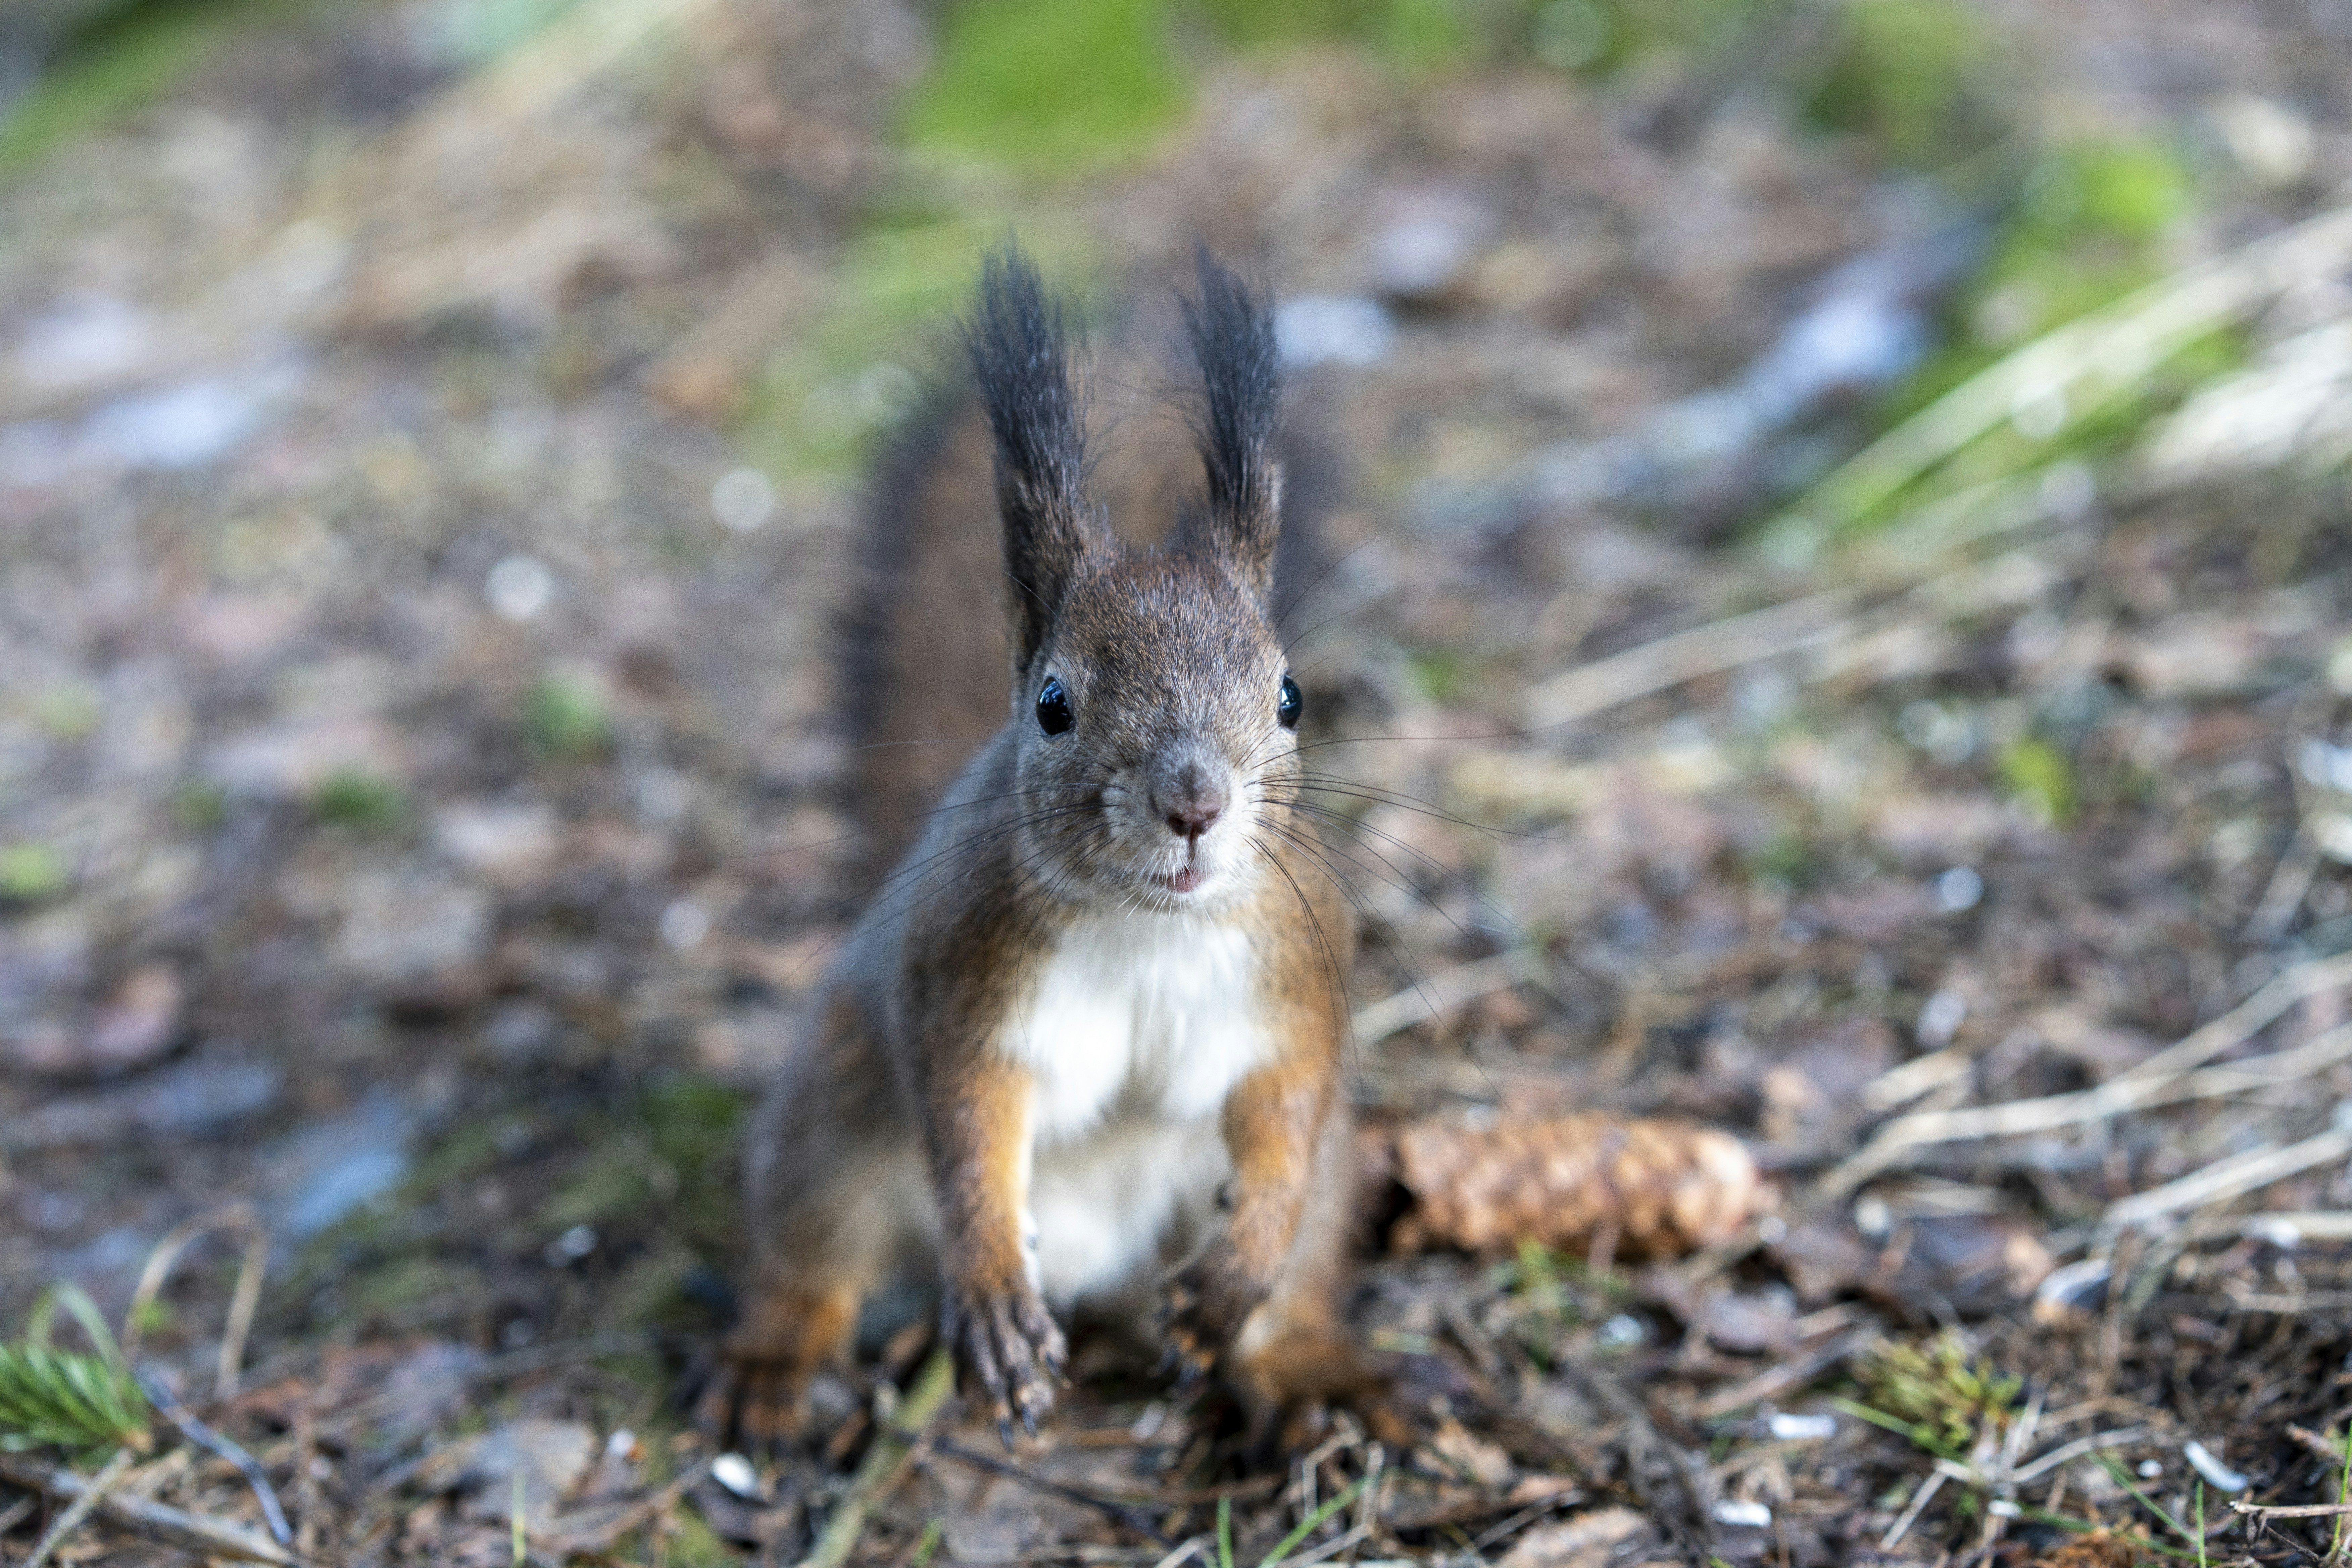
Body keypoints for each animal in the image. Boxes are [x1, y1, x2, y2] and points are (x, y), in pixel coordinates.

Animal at [699, 244, 1374, 1452]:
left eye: (1290, 696)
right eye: (1055, 706)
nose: (1193, 802)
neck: (1149, 927)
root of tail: (1094, 1270)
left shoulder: (1299, 969)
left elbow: (1286, 1108)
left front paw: (1240, 1266)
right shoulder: (964, 974)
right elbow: (970, 1123)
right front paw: (991, 1294)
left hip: (1340, 1178)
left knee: (1301, 1256)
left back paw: (1298, 1370)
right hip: (831, 1125)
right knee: (812, 1255)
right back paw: (776, 1361)